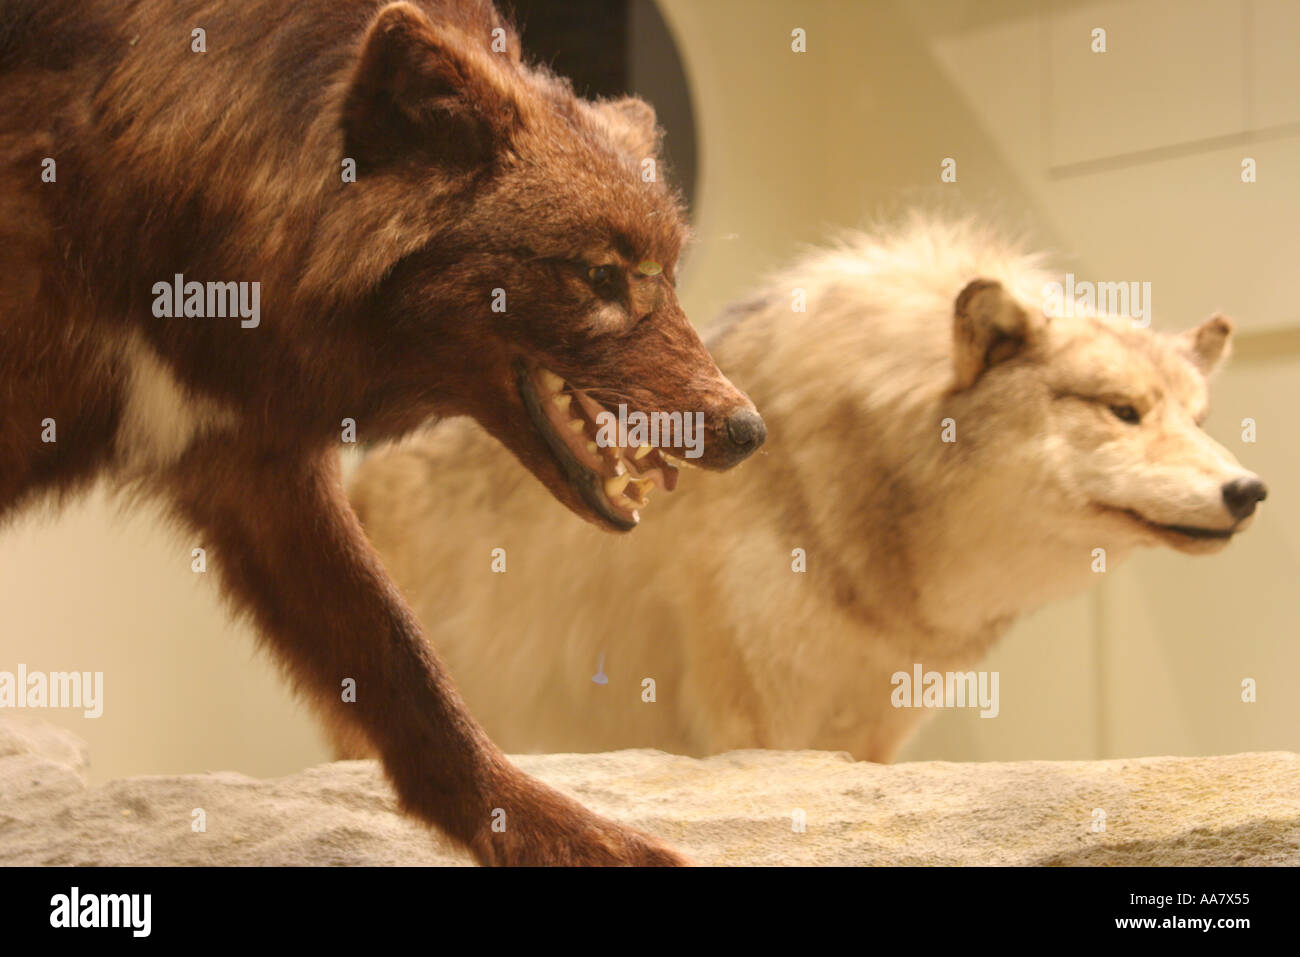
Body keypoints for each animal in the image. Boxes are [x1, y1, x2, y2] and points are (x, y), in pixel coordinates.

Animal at [0, 0, 765, 864]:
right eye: (601, 275)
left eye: (667, 272)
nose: (749, 428)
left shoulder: (252, 465)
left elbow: (412, 676)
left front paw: (559, 832)